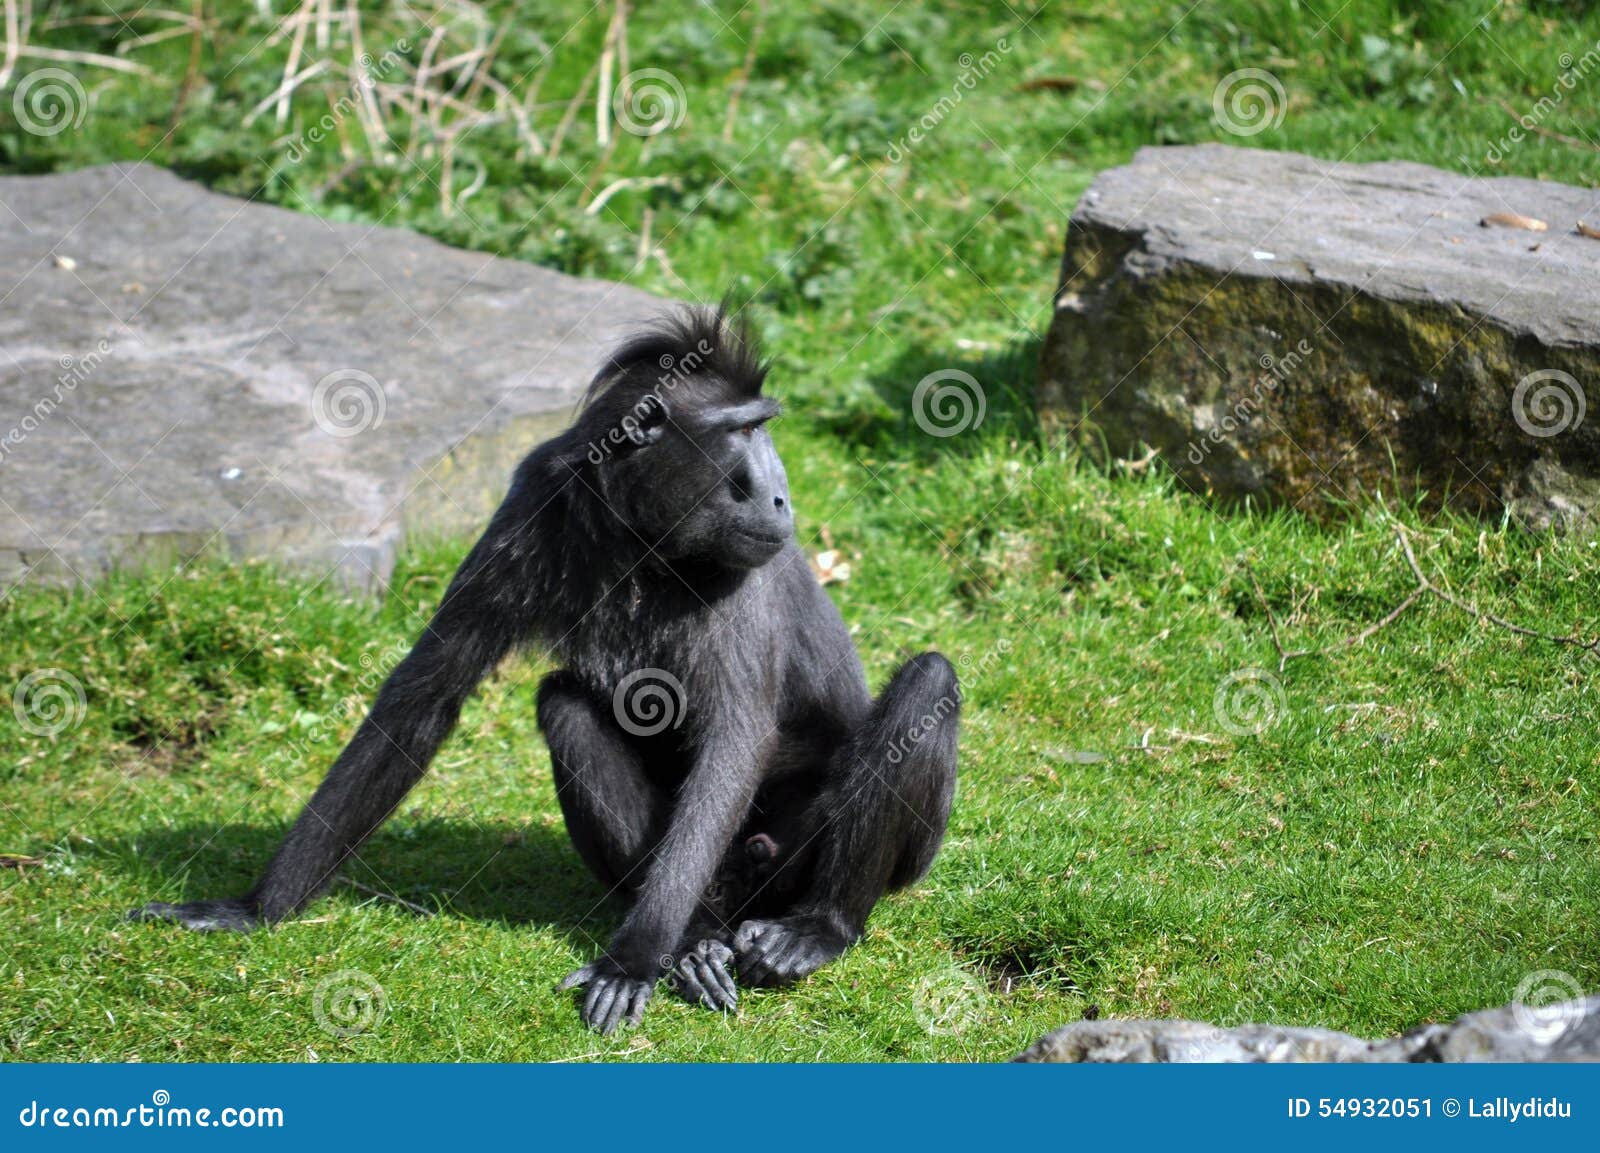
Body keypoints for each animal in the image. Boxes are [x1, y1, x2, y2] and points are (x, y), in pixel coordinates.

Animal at [130, 306, 961, 1034]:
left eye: (764, 427)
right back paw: (695, 939)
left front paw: (631, 961)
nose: (782, 496)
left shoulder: (736, 574)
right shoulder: (534, 501)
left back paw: (815, 929)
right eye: (741, 432)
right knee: (565, 704)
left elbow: (737, 737)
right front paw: (250, 908)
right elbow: (425, 697)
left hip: (819, 855)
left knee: (927, 681)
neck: (642, 542)